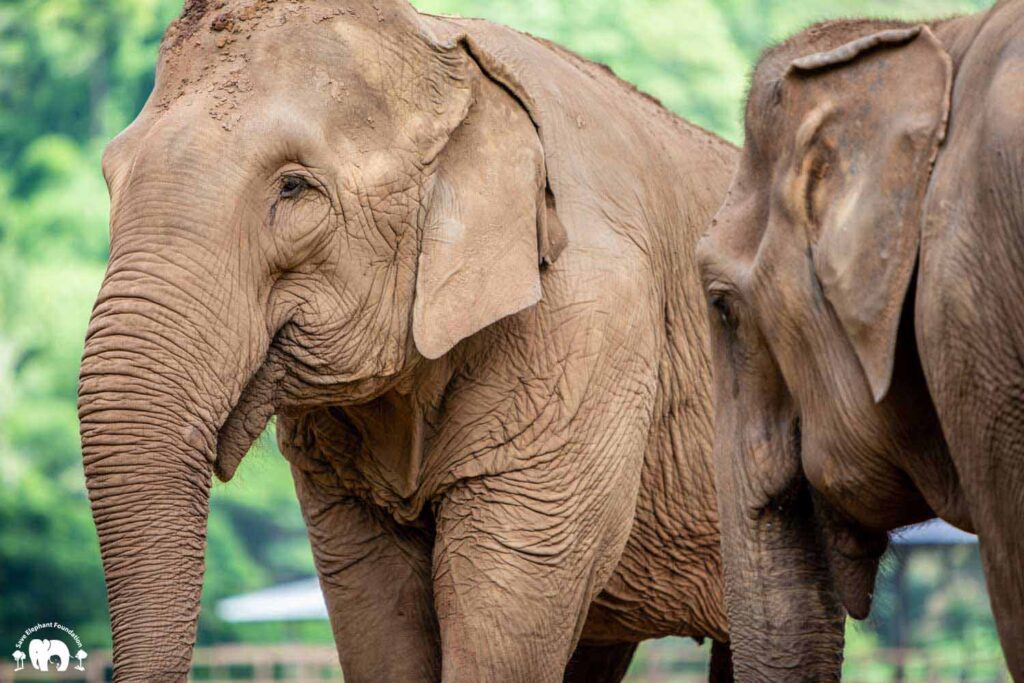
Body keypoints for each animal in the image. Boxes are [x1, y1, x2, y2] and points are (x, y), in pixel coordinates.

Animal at [77, 0, 739, 680]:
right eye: (110, 177)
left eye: (293, 187)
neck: (442, 41)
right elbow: (375, 598)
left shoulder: (591, 325)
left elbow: (511, 586)